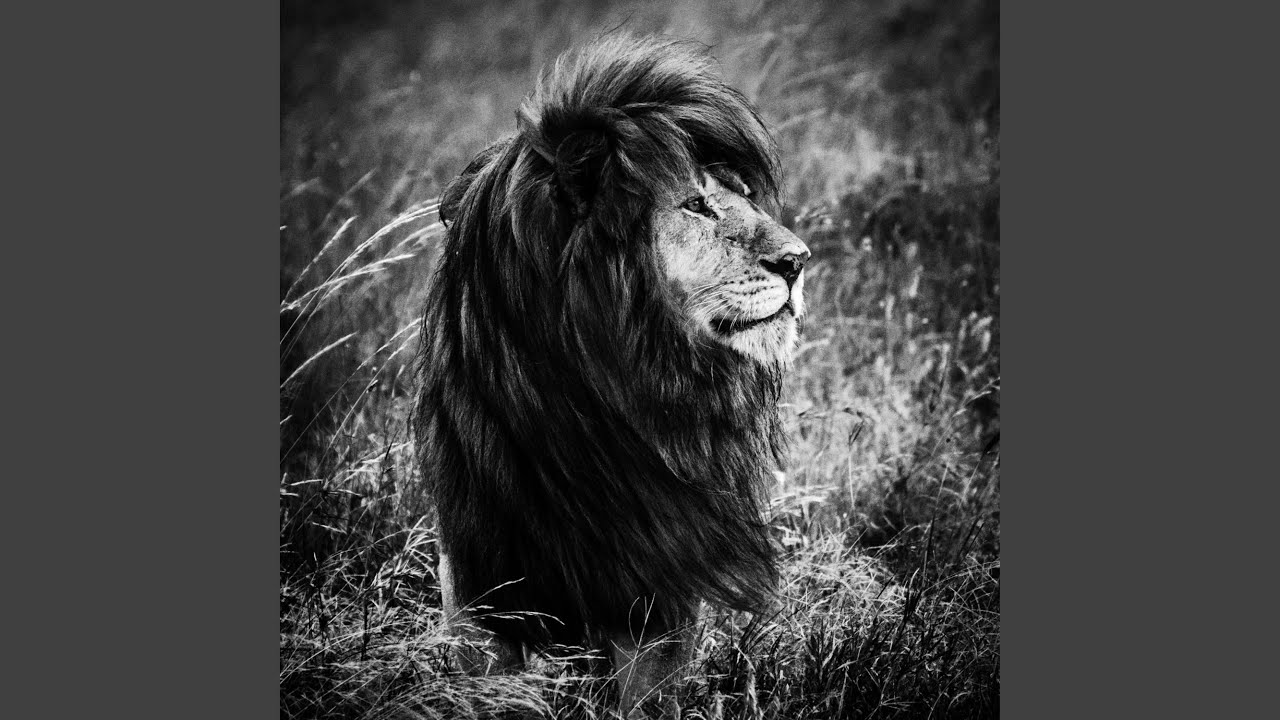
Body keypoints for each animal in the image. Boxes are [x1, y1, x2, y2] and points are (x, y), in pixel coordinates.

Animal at [412, 33, 810, 717]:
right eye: (696, 203)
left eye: (744, 196)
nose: (798, 260)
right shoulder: (480, 562)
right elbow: (490, 679)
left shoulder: (657, 570)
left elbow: (645, 692)